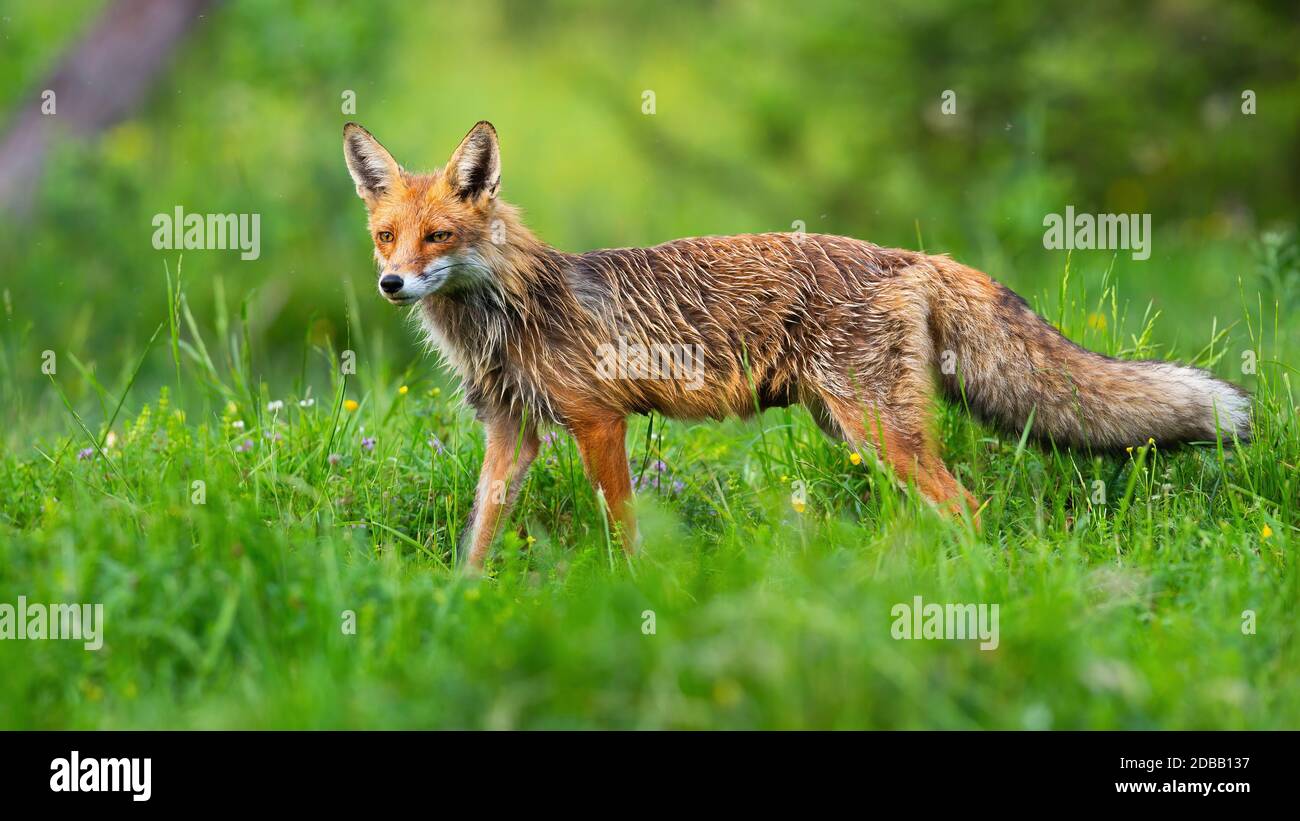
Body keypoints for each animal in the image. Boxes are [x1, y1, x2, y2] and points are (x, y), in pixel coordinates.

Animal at [343, 122, 1248, 566]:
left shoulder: (599, 420)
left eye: (439, 236)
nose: (392, 284)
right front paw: (460, 603)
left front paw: (634, 593)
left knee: (968, 508)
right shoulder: (513, 430)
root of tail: (910, 255)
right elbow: (479, 534)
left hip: (877, 429)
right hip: (854, 429)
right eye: (388, 237)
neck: (505, 311)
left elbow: (624, 526)